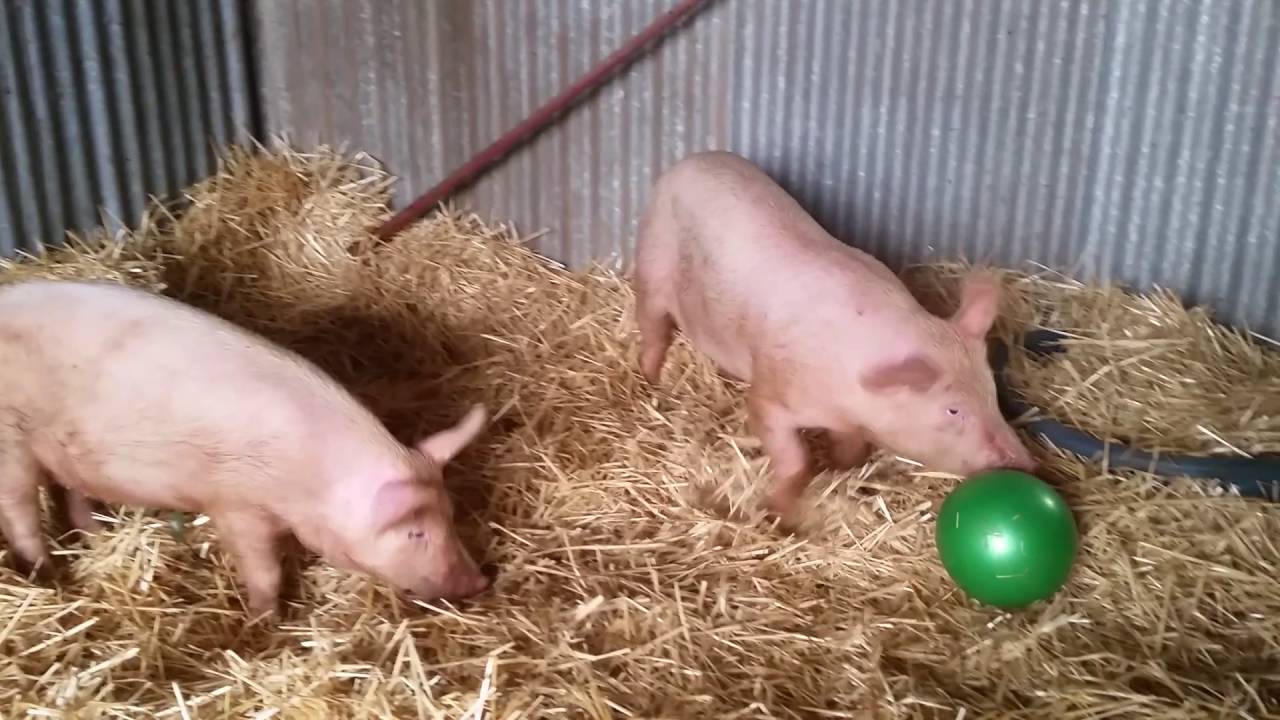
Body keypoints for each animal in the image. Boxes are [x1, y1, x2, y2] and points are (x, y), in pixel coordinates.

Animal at [0, 279, 490, 615]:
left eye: (450, 515)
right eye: (414, 532)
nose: (480, 581)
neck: (312, 477)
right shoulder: (237, 505)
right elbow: (264, 570)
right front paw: (266, 620)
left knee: (69, 490)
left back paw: (94, 537)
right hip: (11, 445)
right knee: (21, 513)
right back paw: (50, 578)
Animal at [634, 151, 1035, 525]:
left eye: (991, 390)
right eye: (952, 409)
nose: (1025, 463)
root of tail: (691, 160)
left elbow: (852, 449)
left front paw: (836, 467)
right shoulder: (772, 395)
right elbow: (794, 456)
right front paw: (778, 512)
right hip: (654, 263)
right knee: (652, 331)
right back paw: (651, 384)